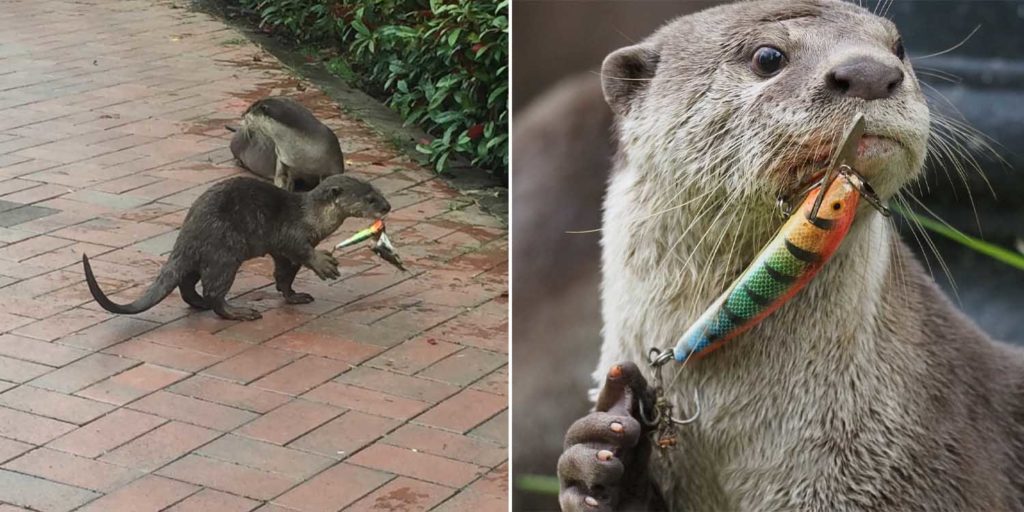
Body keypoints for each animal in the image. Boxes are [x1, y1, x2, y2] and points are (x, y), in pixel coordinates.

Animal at [83, 175, 390, 321]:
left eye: (378, 192)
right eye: (370, 199)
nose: (387, 206)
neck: (311, 217)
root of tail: (188, 233)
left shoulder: (282, 254)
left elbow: (284, 276)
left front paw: (294, 295)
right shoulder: (291, 234)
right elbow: (300, 251)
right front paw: (324, 263)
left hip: (205, 256)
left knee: (187, 284)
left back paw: (201, 304)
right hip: (225, 253)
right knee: (214, 291)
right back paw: (239, 312)